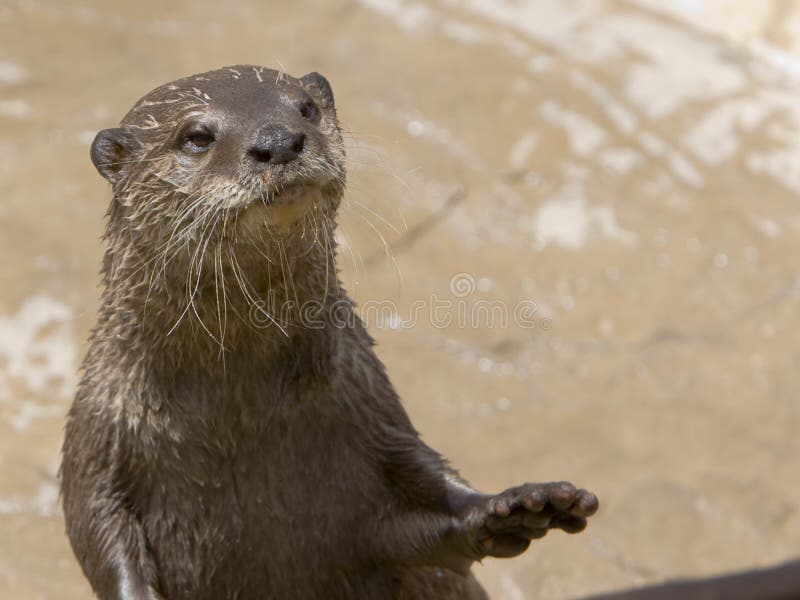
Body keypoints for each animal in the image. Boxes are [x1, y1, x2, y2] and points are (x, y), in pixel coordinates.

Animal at [60, 65, 598, 600]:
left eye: (305, 108)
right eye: (196, 136)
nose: (278, 141)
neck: (238, 413)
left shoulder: (373, 408)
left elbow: (432, 492)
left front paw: (517, 509)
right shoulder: (101, 438)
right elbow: (96, 531)